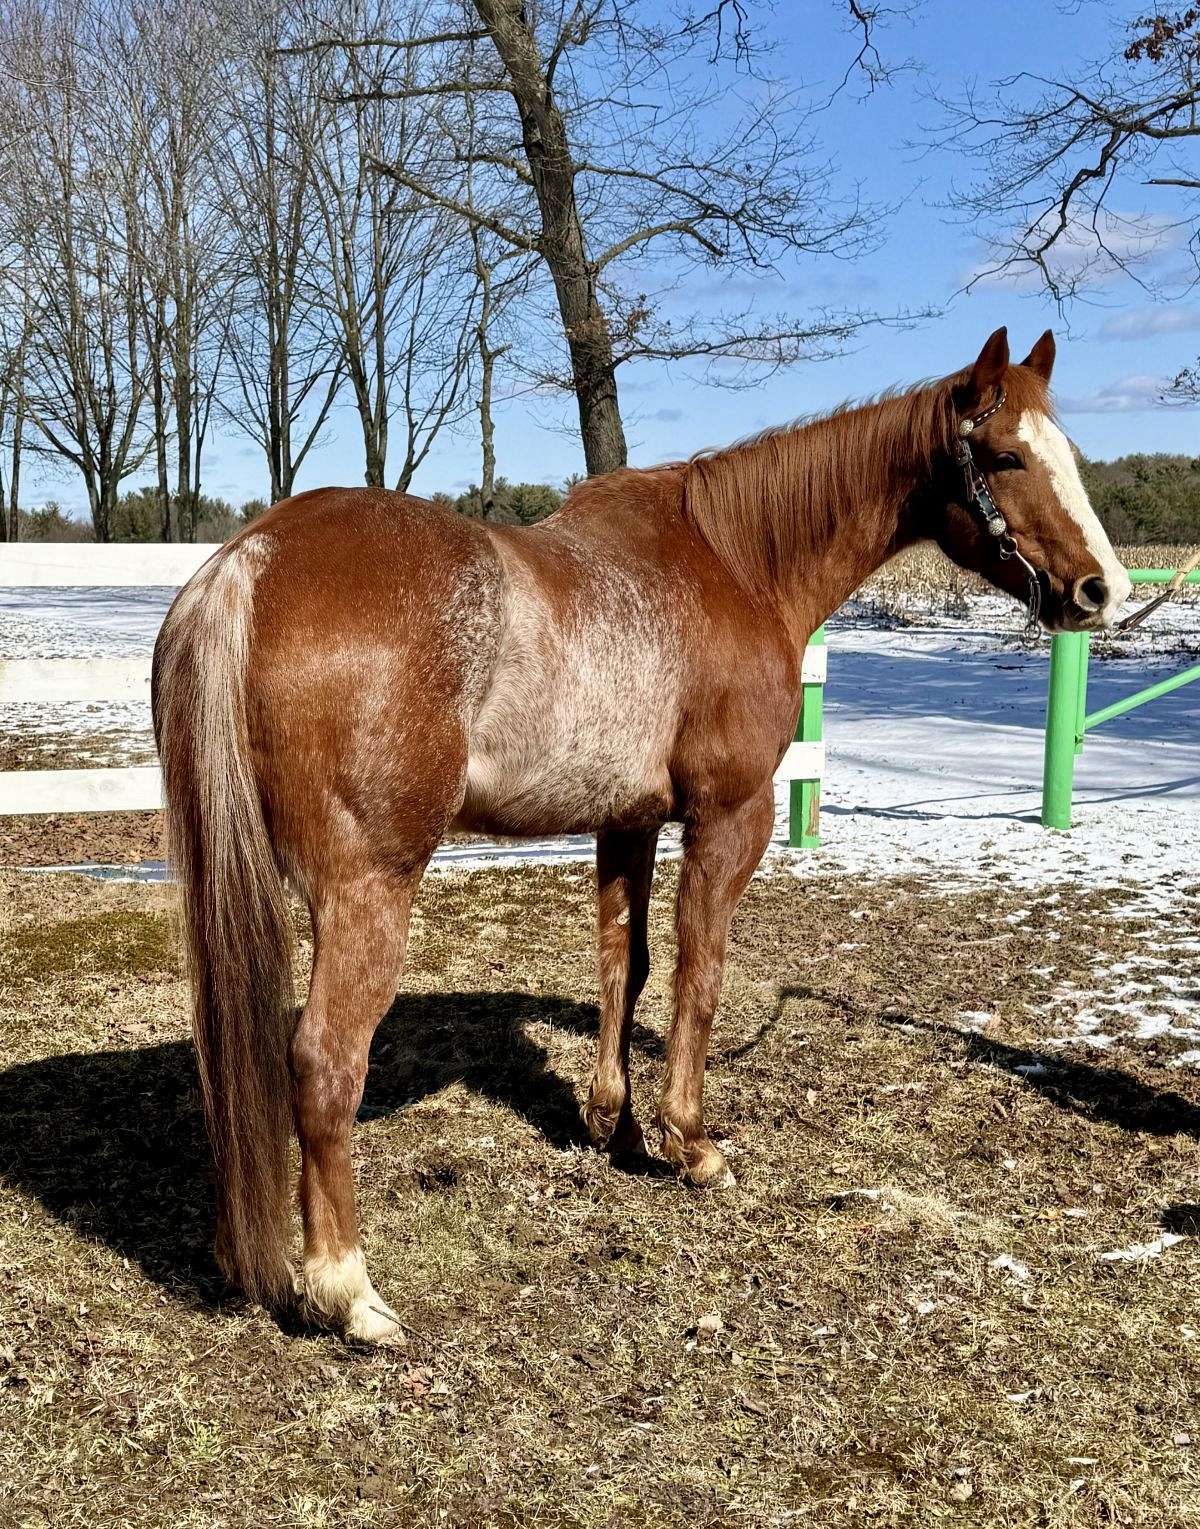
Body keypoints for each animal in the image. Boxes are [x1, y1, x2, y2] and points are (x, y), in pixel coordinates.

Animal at [152, 326, 1131, 1342]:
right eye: (1007, 456)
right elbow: (700, 970)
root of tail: (251, 560)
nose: (1103, 589)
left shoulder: (627, 823)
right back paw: (347, 1288)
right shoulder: (731, 818)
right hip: (369, 887)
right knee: (322, 1061)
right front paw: (690, 1142)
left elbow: (626, 965)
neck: (736, 561)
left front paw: (612, 1123)